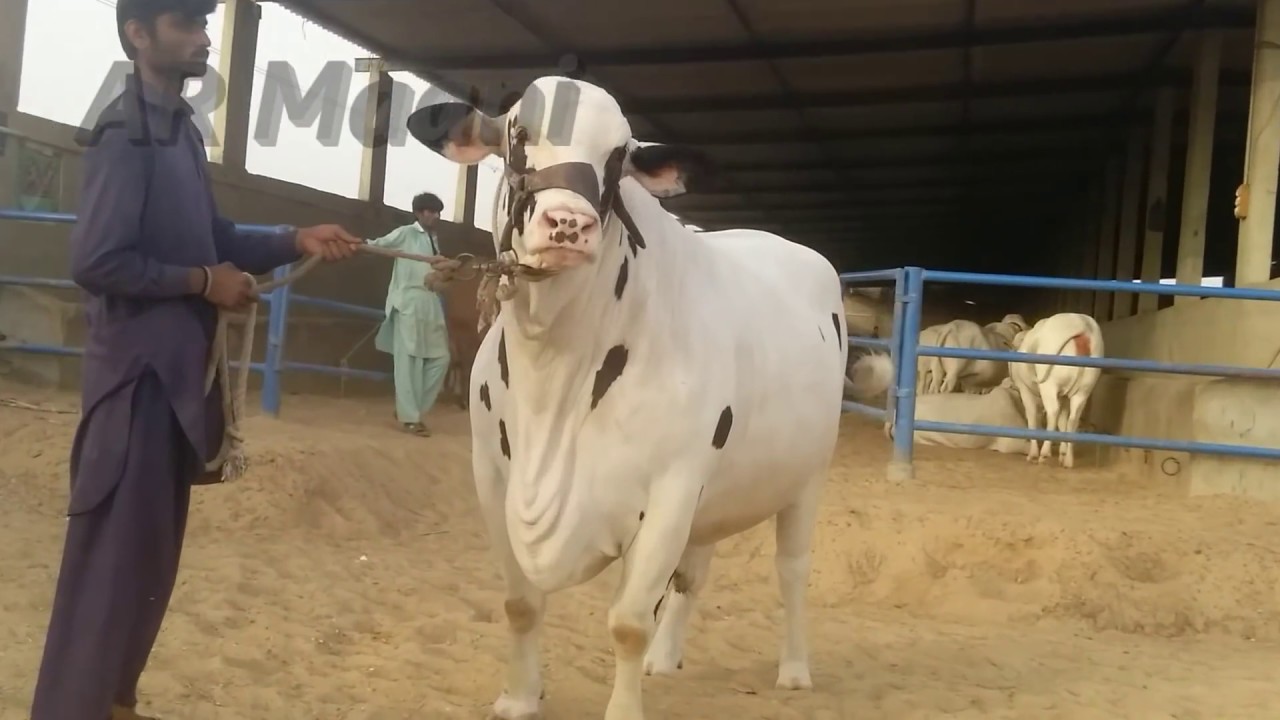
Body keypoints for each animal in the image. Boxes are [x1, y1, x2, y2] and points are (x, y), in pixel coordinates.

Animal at [407, 76, 847, 720]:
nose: (568, 223)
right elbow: (521, 605)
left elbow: (629, 623)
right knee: (694, 572)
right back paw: (667, 658)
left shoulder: (671, 487)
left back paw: (794, 670)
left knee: (791, 570)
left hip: (806, 476)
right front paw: (519, 697)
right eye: (518, 134)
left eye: (618, 158)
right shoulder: (491, 477)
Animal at [1009, 312, 1104, 468]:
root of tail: (1082, 324)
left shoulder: (1026, 391)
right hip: (1084, 388)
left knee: (1053, 412)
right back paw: (1068, 459)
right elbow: (1063, 421)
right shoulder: (1063, 397)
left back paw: (1044, 453)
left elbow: (1032, 417)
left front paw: (1033, 454)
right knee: (1073, 419)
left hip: (1050, 383)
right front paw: (1063, 452)